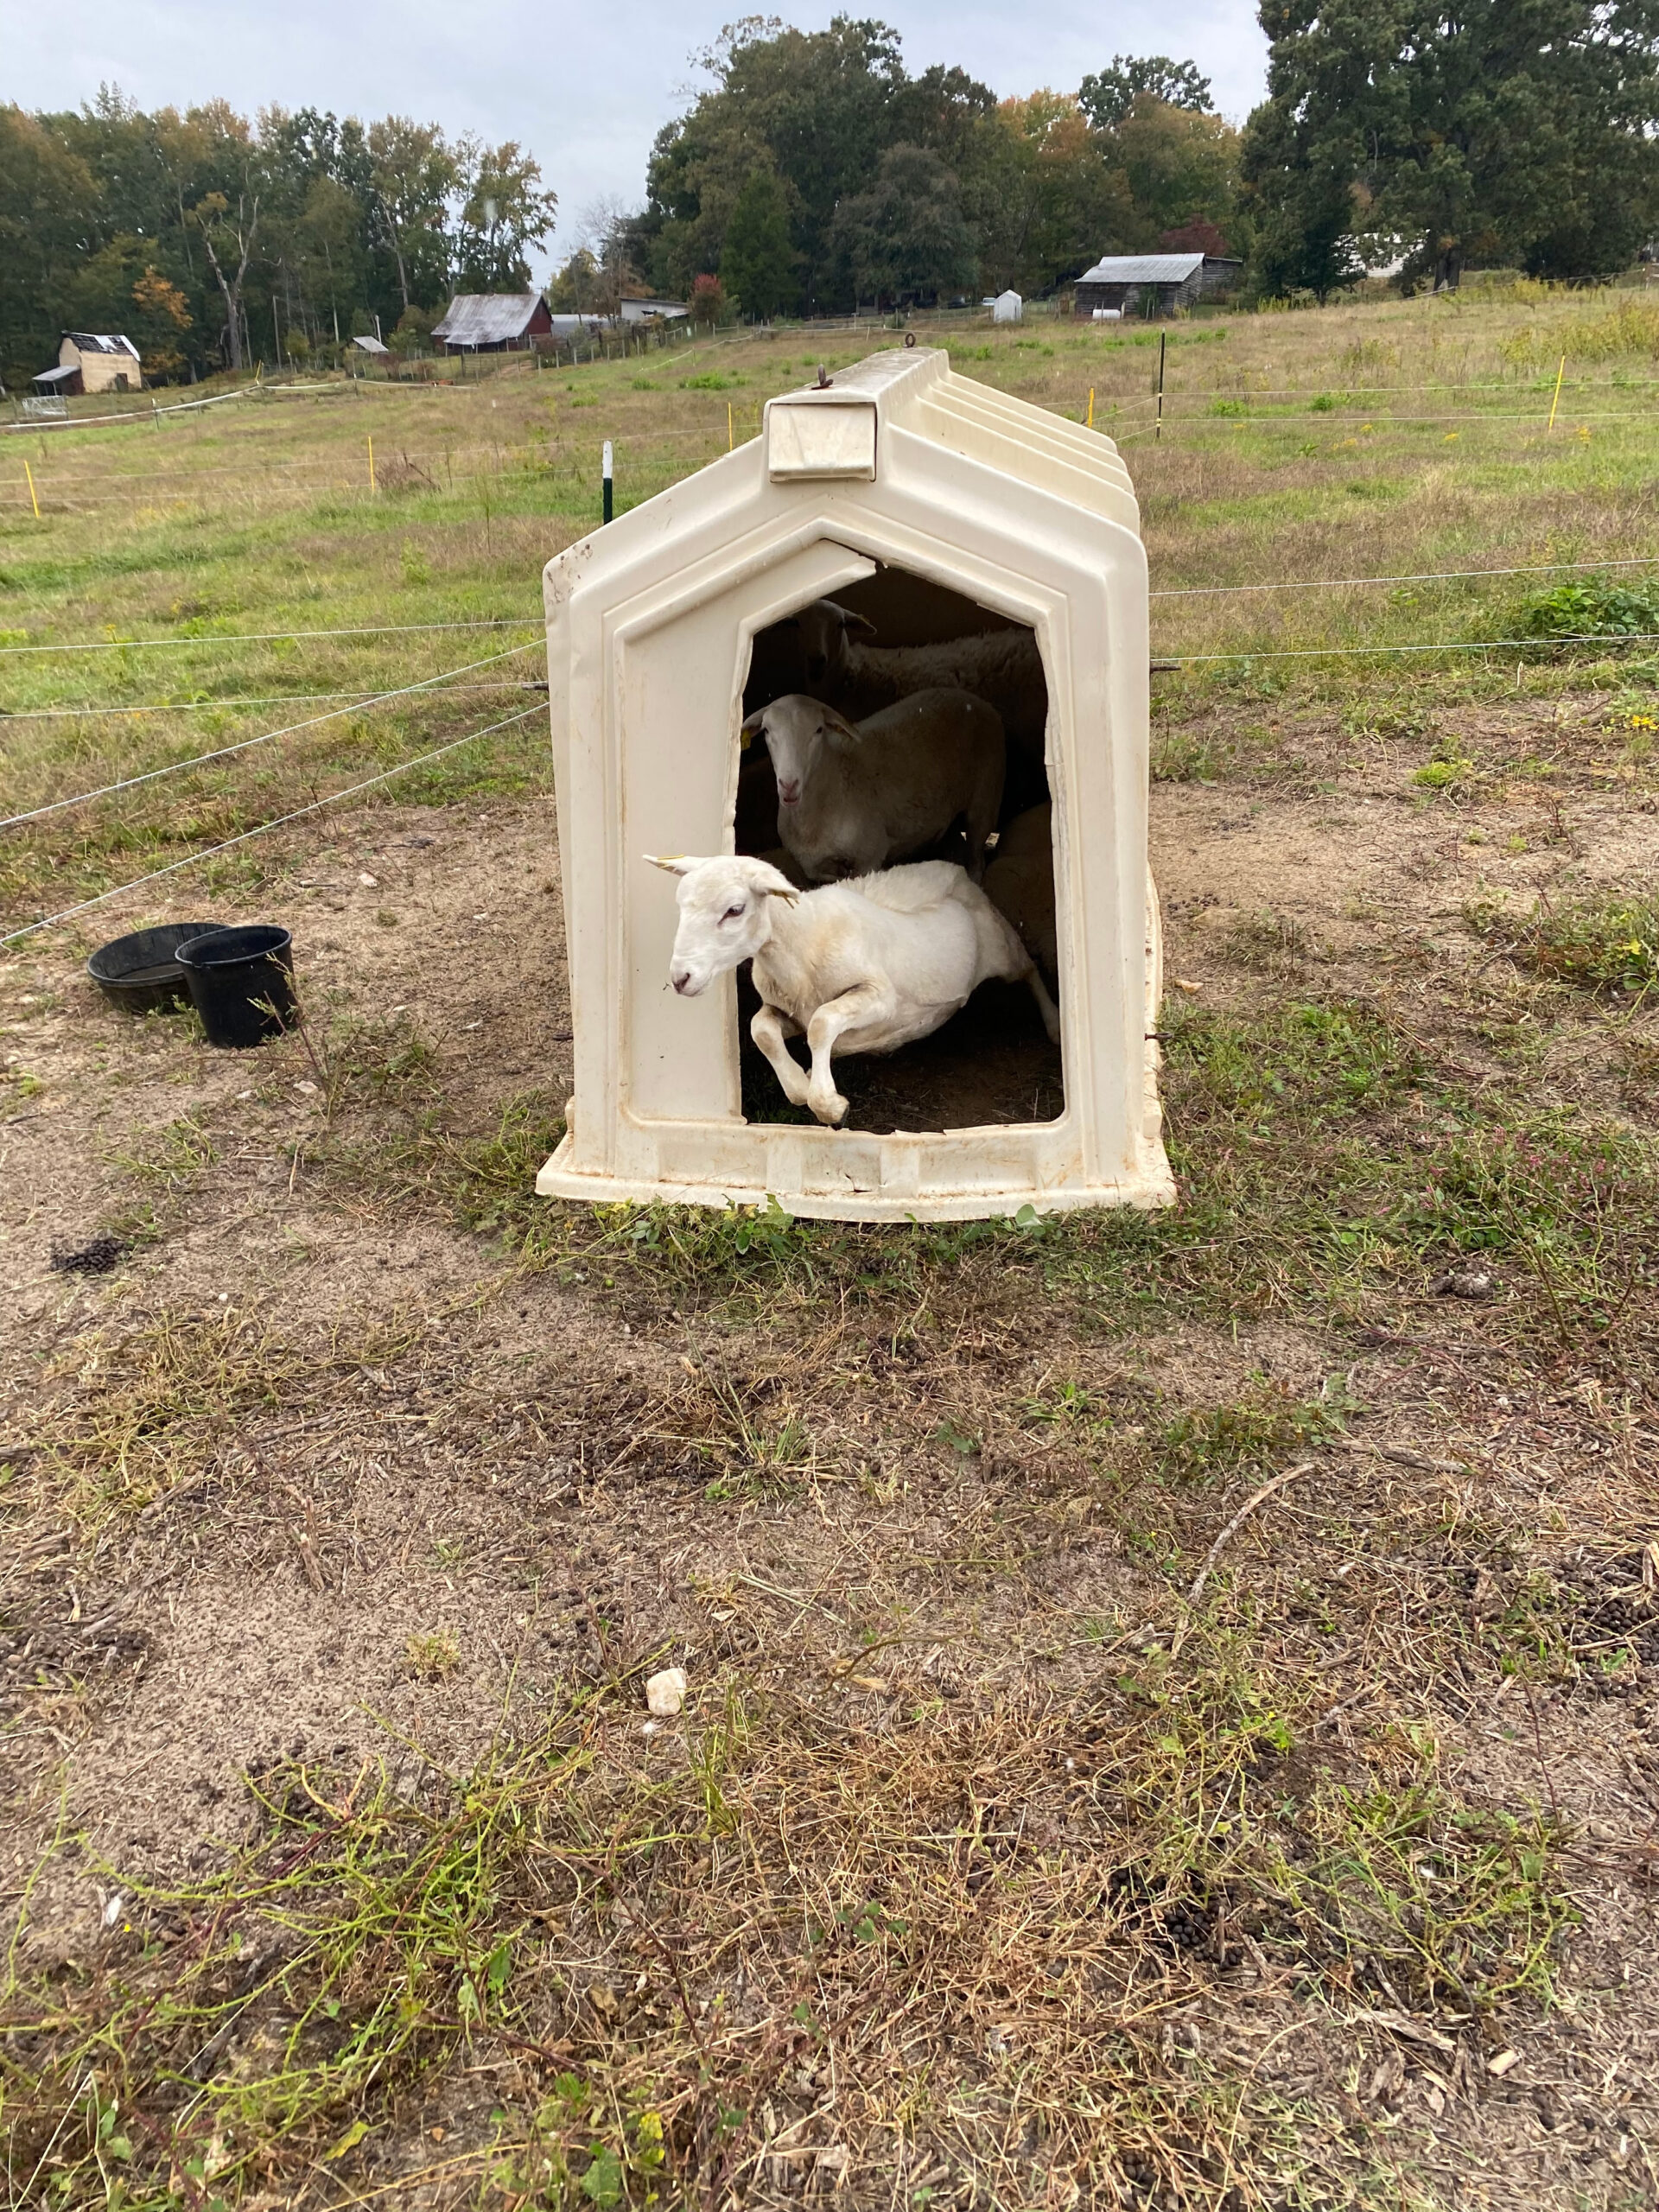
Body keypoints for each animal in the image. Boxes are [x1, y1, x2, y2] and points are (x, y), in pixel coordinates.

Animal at [647, 852, 1060, 1127]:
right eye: (681, 906)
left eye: (734, 909)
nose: (681, 978)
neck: (801, 949)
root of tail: (953, 868)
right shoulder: (785, 1009)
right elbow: (761, 1030)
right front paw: (802, 1084)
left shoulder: (879, 997)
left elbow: (822, 1024)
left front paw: (829, 1104)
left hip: (1001, 944)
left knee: (1028, 968)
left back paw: (1055, 1024)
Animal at [742, 687, 1004, 886]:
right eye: (767, 730)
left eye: (818, 730)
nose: (789, 785)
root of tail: (973, 698)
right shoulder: (809, 863)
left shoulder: (872, 854)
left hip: (985, 798)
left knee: (977, 858)